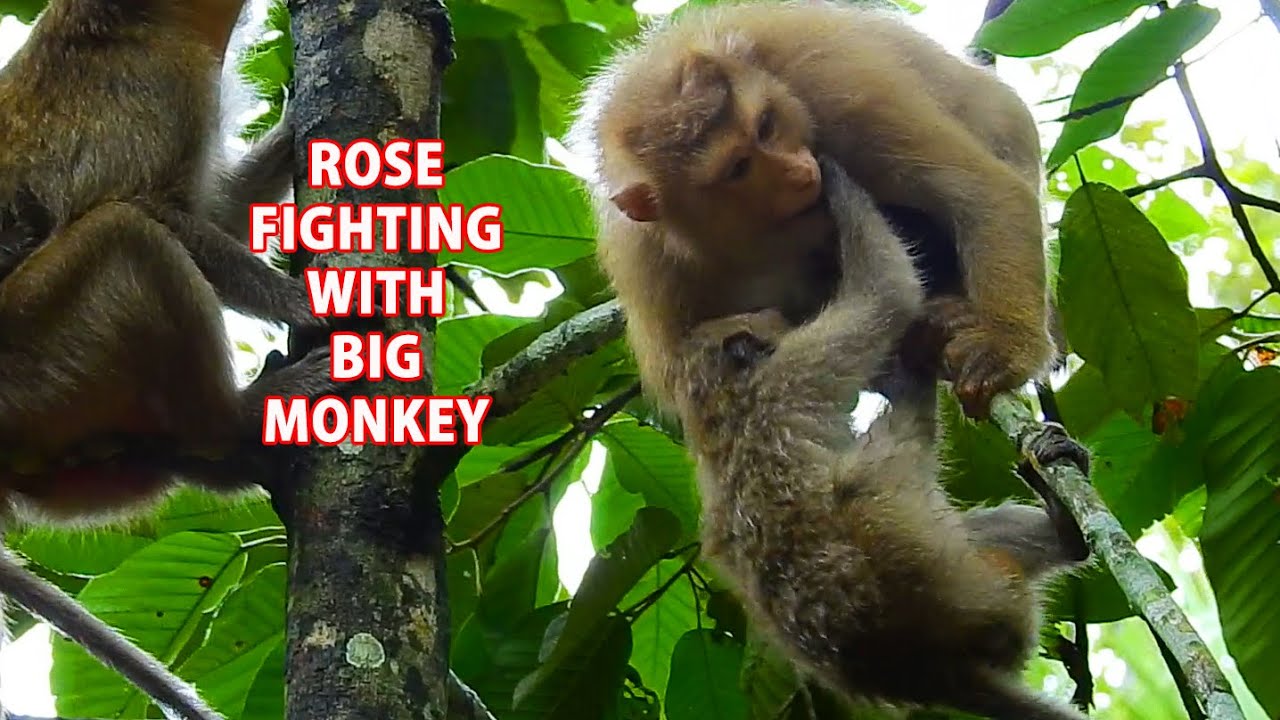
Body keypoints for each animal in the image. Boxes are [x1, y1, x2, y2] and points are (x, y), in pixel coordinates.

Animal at [569, 0, 1053, 420]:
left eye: (765, 125)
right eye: (738, 167)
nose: (799, 170)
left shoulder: (842, 90)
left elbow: (982, 190)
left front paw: (1003, 349)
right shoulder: (649, 262)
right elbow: (689, 372)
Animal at [673, 159, 1089, 720]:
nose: (778, 315)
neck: (716, 406)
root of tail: (932, 674)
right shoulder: (796, 366)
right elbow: (885, 296)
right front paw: (837, 184)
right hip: (952, 581)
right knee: (878, 469)